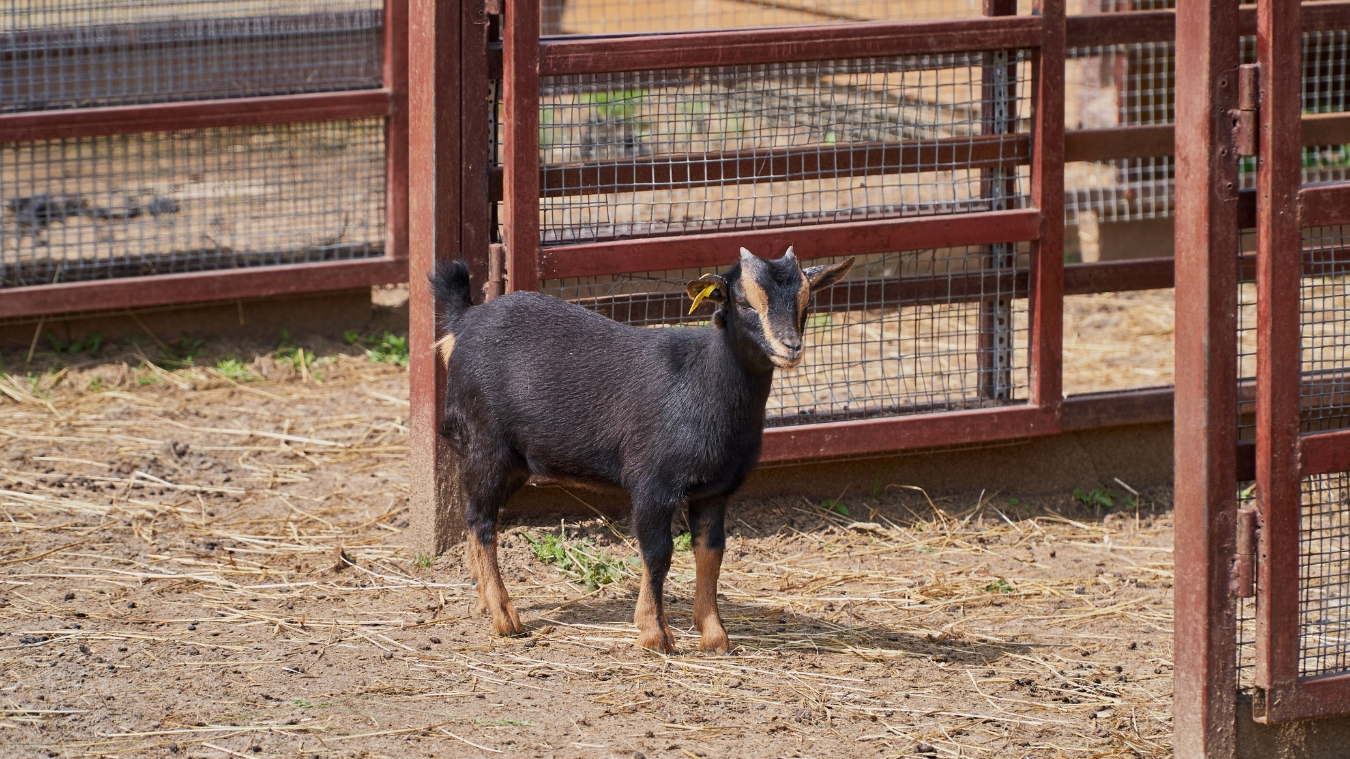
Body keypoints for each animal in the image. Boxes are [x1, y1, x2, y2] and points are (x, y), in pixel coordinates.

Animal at [430, 247, 854, 653]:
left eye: (807, 302)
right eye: (744, 302)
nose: (791, 347)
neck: (702, 383)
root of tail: (464, 320)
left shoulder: (716, 490)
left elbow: (711, 552)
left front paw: (715, 636)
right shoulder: (653, 483)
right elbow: (658, 553)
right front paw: (655, 634)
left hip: (514, 460)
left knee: (477, 517)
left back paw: (484, 601)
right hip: (486, 444)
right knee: (481, 521)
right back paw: (505, 617)